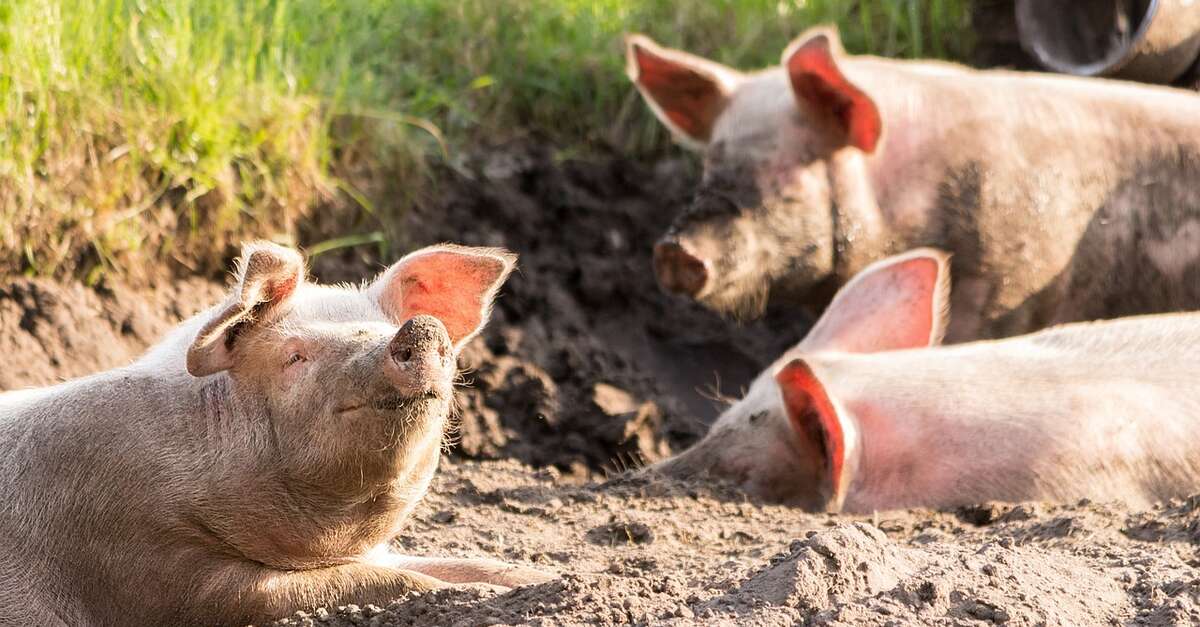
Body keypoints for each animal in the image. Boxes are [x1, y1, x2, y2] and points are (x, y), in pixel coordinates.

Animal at [0, 242, 551, 626]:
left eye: (382, 327)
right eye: (295, 356)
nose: (420, 327)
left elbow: (466, 563)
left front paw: (545, 579)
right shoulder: (154, 566)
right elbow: (374, 580)